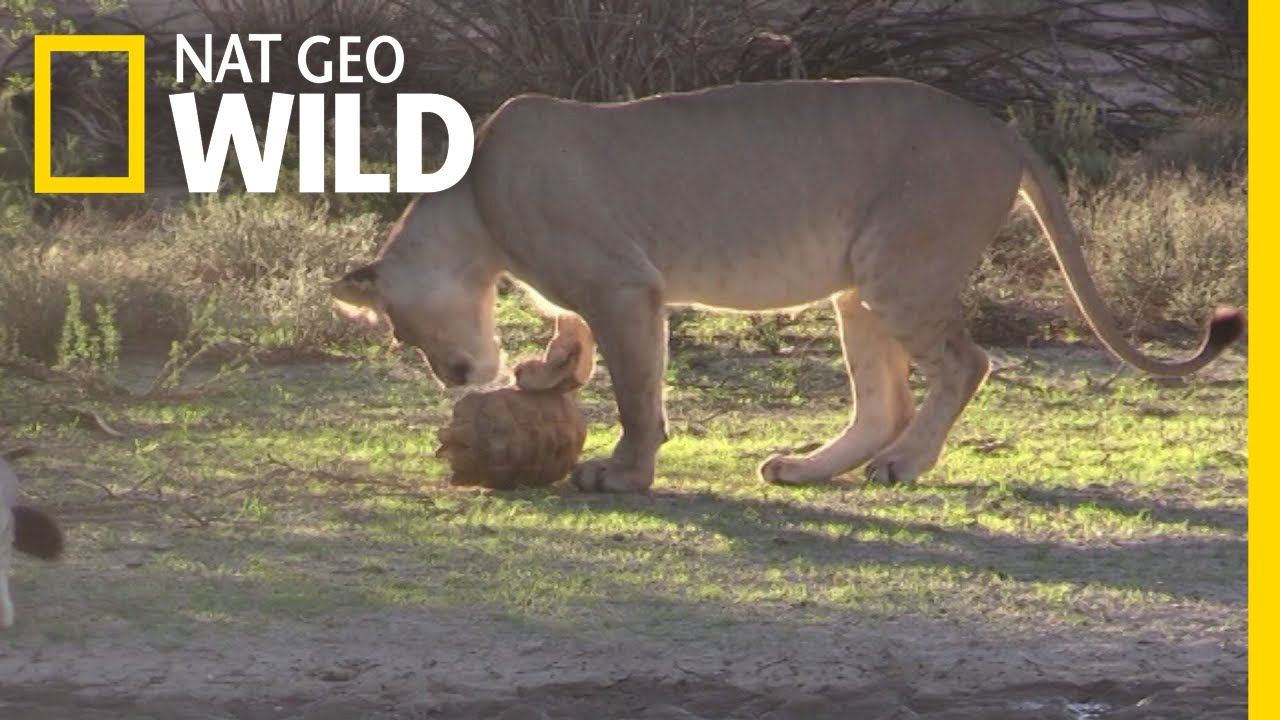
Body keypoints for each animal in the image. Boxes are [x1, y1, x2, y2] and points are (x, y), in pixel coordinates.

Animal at [332, 78, 1244, 492]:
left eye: (403, 333)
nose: (453, 378)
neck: (475, 206)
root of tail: (1003, 131)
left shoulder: (626, 285)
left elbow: (637, 395)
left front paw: (623, 474)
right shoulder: (609, 286)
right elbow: (577, 337)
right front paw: (547, 370)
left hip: (897, 267)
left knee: (964, 365)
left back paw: (903, 466)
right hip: (855, 290)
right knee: (884, 400)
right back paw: (807, 468)